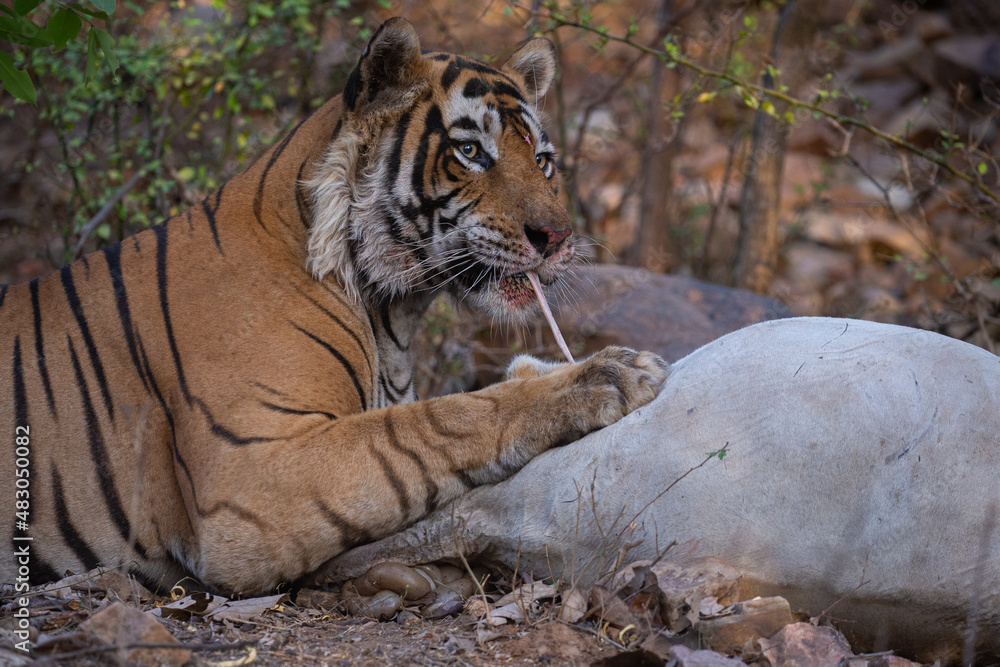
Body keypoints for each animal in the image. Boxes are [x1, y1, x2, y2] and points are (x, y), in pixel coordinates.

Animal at [1, 17, 668, 596]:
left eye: (543, 161)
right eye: (473, 153)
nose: (558, 238)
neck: (391, 312)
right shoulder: (251, 474)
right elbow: (438, 421)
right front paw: (605, 374)